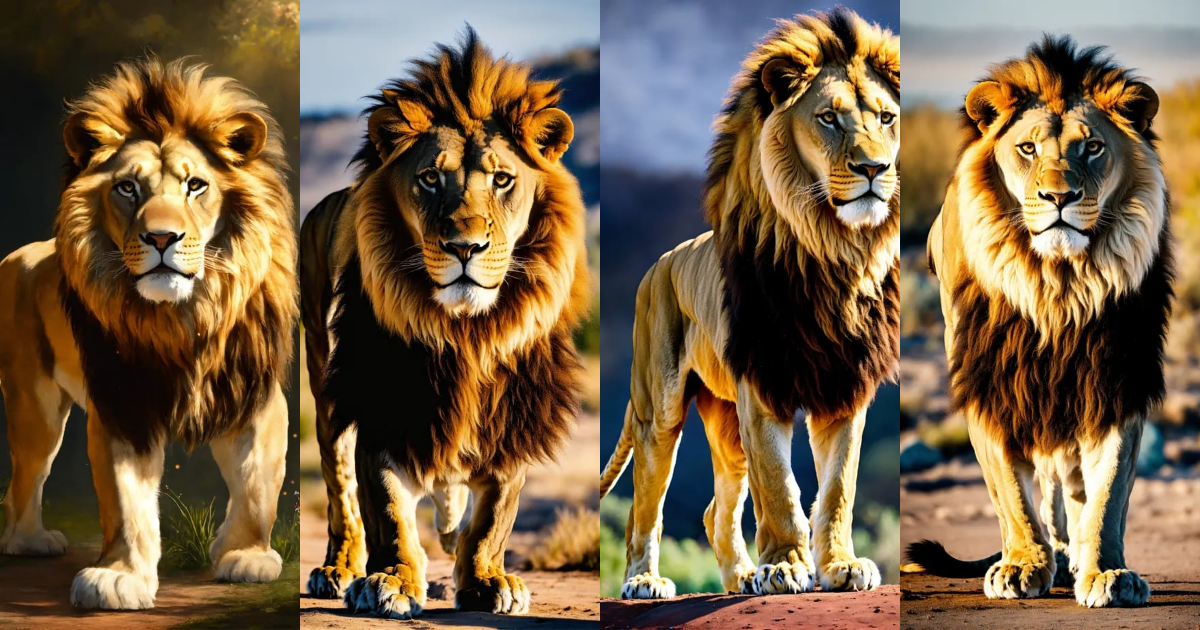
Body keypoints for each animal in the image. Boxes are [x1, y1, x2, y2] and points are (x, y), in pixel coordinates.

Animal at [0, 57, 297, 609]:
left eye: (196, 185)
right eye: (127, 188)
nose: (161, 237)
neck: (180, 319)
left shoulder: (252, 392)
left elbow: (256, 484)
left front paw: (244, 555)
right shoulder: (122, 405)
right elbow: (126, 502)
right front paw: (119, 576)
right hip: (35, 405)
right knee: (27, 473)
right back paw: (28, 541)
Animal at [300, 30, 588, 619]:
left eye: (502, 180)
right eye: (431, 179)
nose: (464, 246)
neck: (465, 333)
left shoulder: (511, 415)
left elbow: (493, 518)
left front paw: (487, 579)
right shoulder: (381, 409)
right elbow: (387, 509)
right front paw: (392, 581)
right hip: (325, 388)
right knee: (340, 491)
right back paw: (338, 568)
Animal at [598, 8, 900, 598]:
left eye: (886, 118)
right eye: (829, 119)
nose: (875, 169)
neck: (830, 251)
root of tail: (661, 261)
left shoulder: (846, 387)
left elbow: (838, 489)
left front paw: (840, 565)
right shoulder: (761, 384)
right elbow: (779, 487)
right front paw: (784, 566)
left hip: (723, 420)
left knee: (716, 511)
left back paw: (740, 577)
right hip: (659, 413)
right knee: (643, 512)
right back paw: (646, 580)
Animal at [909, 36, 1170, 608]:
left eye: (1091, 148)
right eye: (1027, 149)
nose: (1059, 198)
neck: (1056, 286)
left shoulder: (1115, 378)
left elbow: (1107, 492)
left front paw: (1107, 571)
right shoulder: (988, 382)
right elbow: (1010, 490)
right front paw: (1021, 564)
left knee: (1069, 488)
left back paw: (1075, 557)